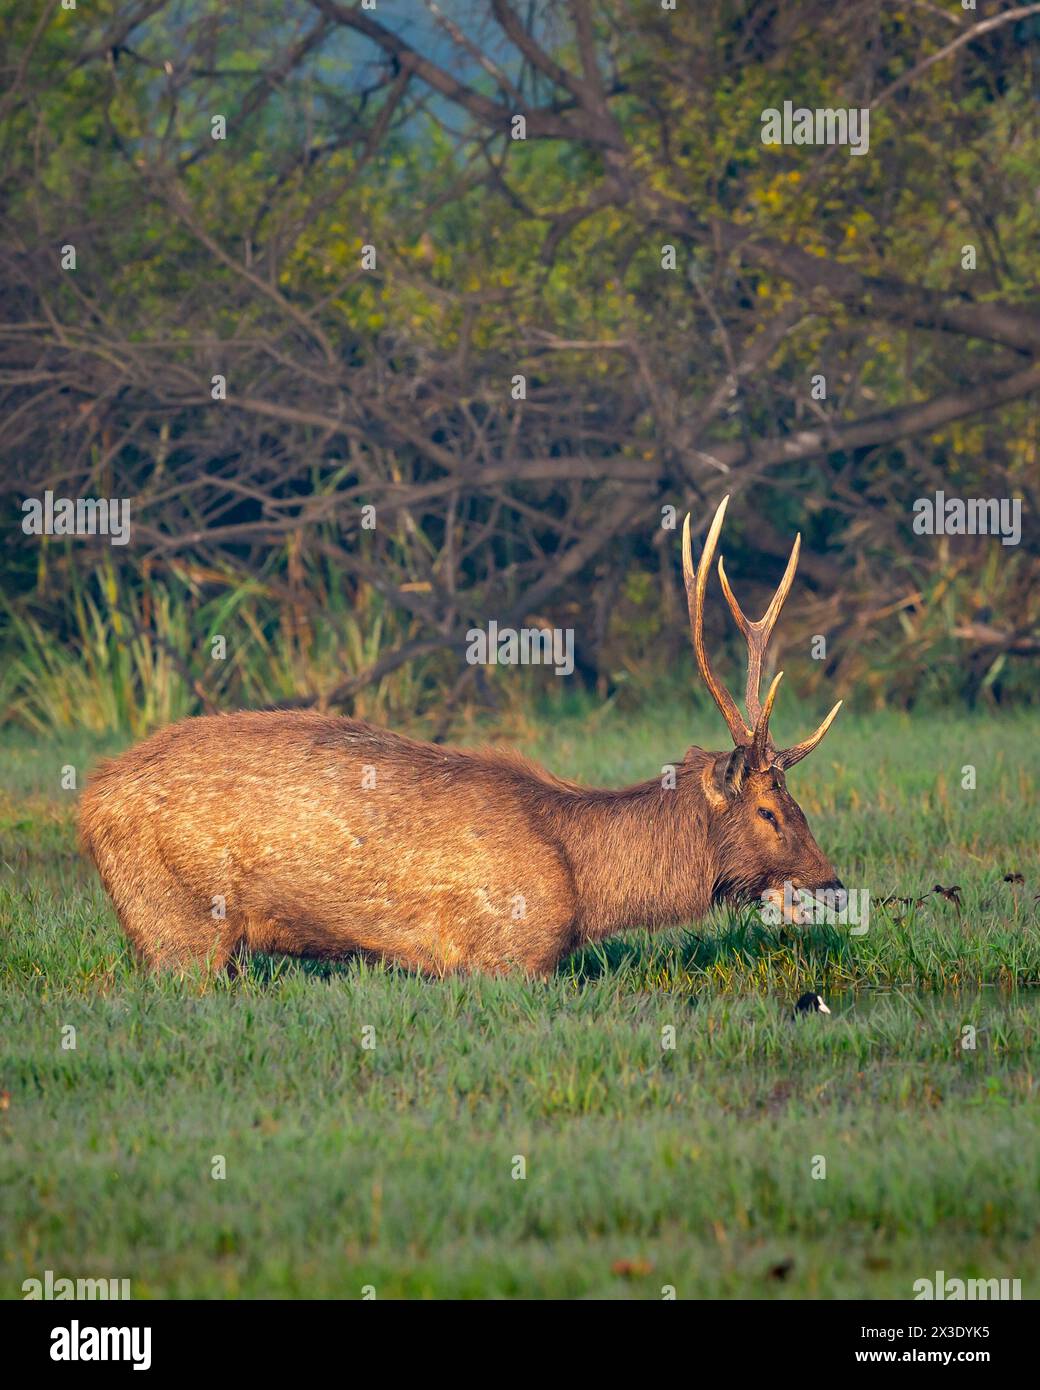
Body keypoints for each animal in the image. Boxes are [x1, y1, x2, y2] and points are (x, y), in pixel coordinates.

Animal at [79, 496, 844, 978]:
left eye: (797, 802)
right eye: (768, 810)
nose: (834, 886)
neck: (587, 885)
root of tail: (90, 798)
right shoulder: (507, 954)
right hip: (180, 927)